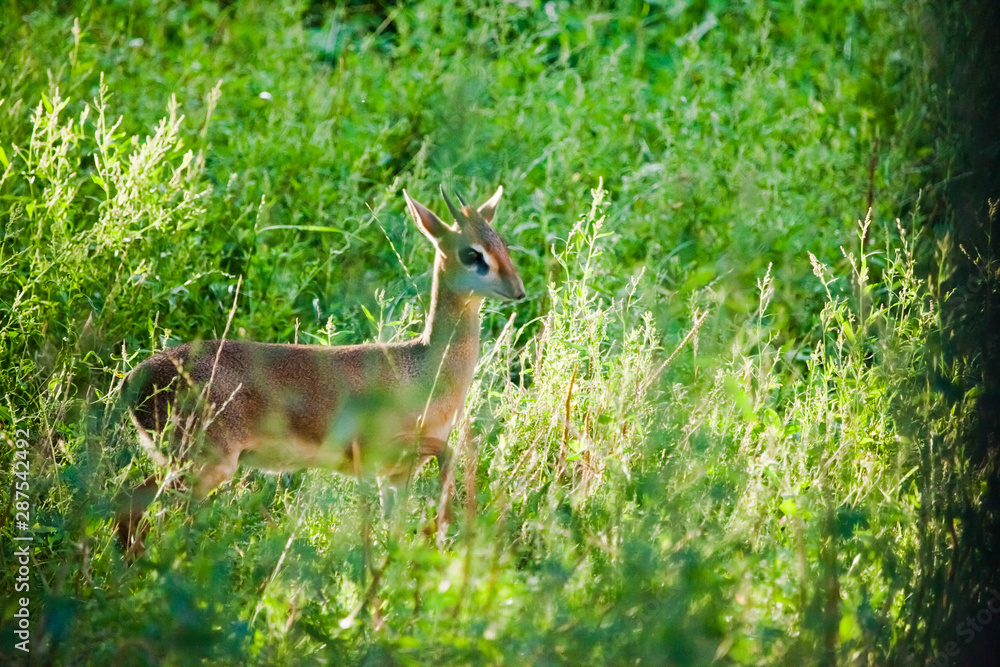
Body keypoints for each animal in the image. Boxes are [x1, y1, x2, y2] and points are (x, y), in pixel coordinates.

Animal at [118, 185, 525, 552]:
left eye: (502, 243)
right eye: (472, 253)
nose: (518, 290)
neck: (424, 366)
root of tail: (132, 380)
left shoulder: (394, 475)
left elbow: (394, 529)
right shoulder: (380, 452)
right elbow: (448, 453)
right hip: (203, 467)